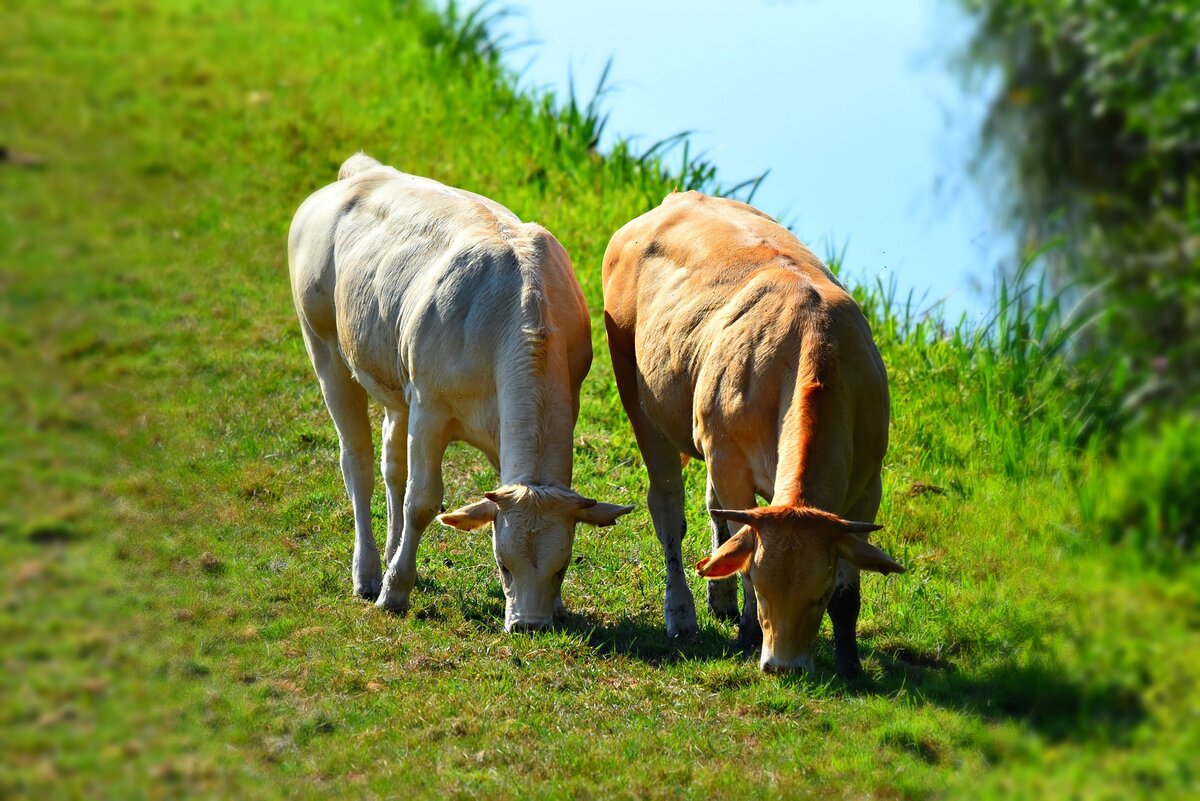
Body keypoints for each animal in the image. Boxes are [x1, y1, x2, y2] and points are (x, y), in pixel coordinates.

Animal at [288, 154, 638, 633]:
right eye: (503, 566)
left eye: (562, 568)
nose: (529, 625)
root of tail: (363, 171)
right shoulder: (430, 408)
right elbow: (422, 501)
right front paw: (395, 593)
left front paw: (559, 606)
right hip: (325, 348)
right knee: (357, 461)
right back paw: (369, 574)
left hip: (395, 381)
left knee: (391, 465)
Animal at [604, 190, 902, 671]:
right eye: (763, 592)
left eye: (818, 596)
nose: (782, 666)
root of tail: (678, 197)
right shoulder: (731, 461)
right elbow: (741, 546)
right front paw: (747, 631)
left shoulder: (866, 485)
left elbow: (848, 593)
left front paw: (849, 664)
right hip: (641, 403)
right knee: (668, 509)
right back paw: (681, 613)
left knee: (712, 511)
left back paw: (718, 597)